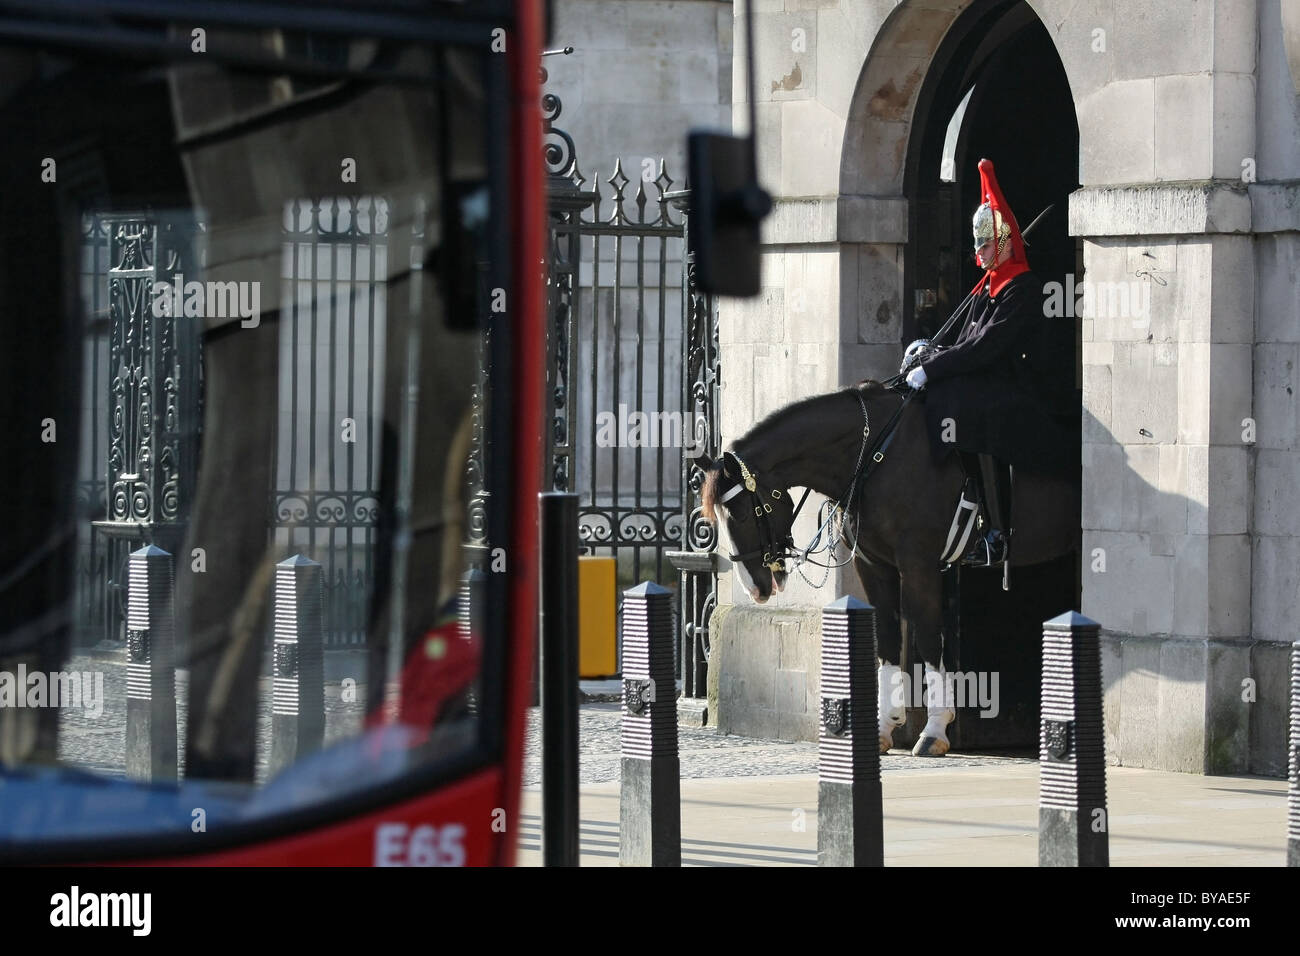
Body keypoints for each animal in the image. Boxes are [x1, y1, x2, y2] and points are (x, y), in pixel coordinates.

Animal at [700, 380, 1079, 757]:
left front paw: (934, 730)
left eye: (741, 514)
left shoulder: (918, 564)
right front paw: (884, 726)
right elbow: (886, 636)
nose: (756, 588)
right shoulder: (875, 566)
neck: (875, 456)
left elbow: (927, 637)